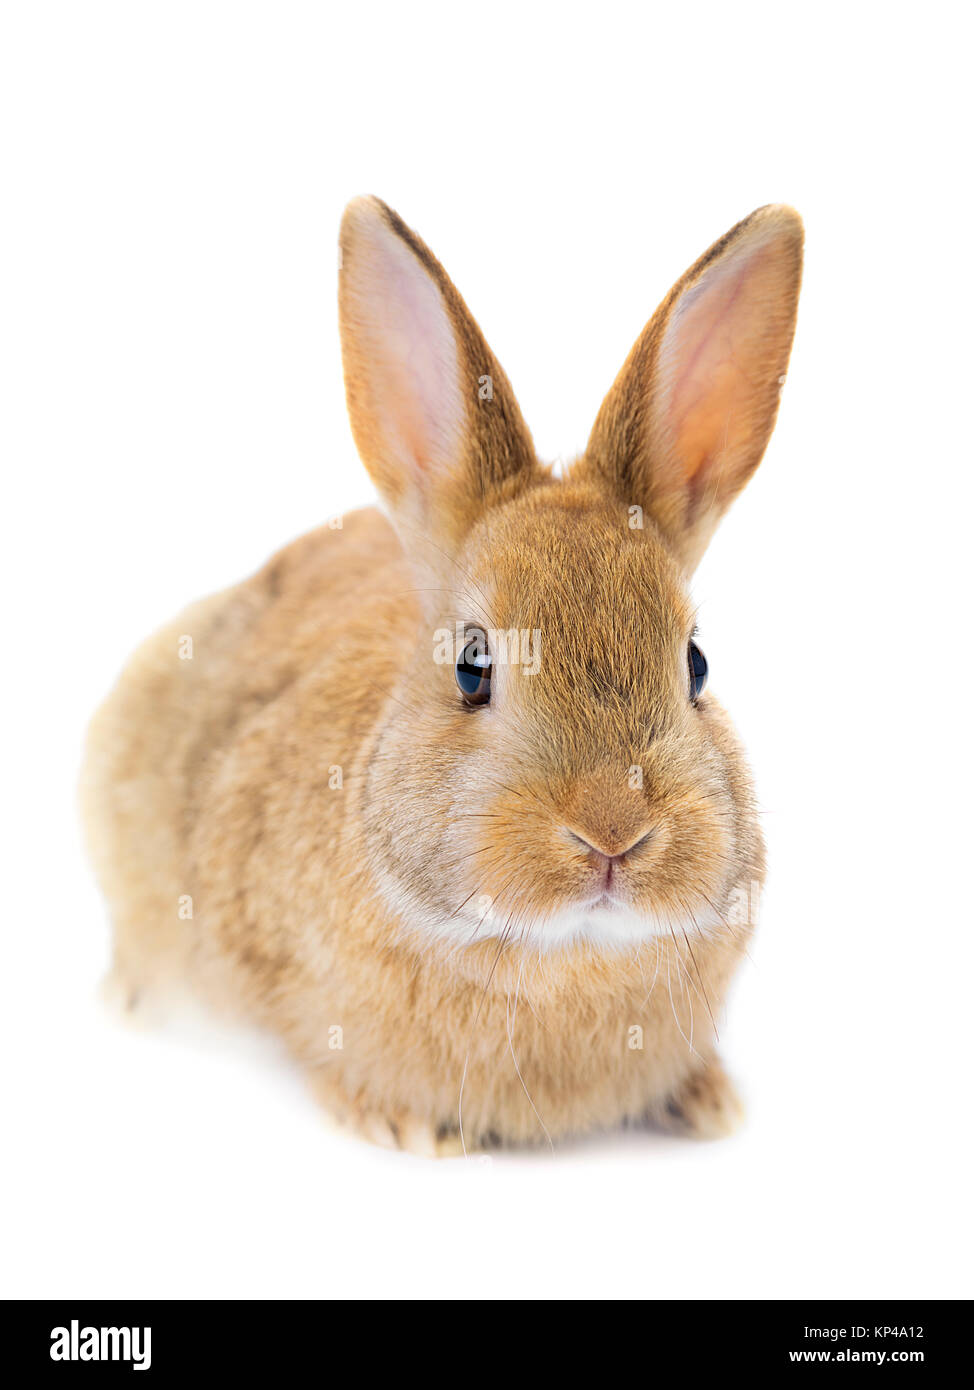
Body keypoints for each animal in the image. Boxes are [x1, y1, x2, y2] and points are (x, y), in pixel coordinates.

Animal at [82, 196, 802, 1155]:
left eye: (696, 664)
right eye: (471, 667)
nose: (612, 835)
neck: (565, 955)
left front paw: (709, 1103)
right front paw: (403, 1124)